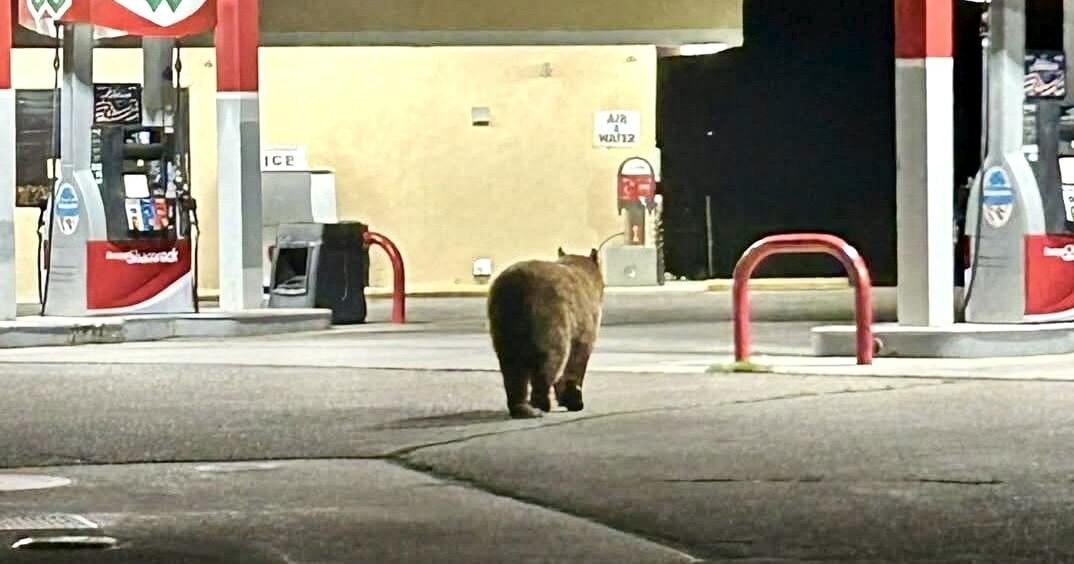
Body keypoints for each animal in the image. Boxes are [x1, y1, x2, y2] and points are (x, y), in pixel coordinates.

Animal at [487, 248, 605, 419]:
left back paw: (521, 407)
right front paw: (575, 400)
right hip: (549, 317)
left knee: (512, 368)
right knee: (551, 360)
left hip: (503, 322)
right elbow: (577, 360)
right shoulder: (583, 322)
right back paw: (541, 405)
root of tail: (516, 286)